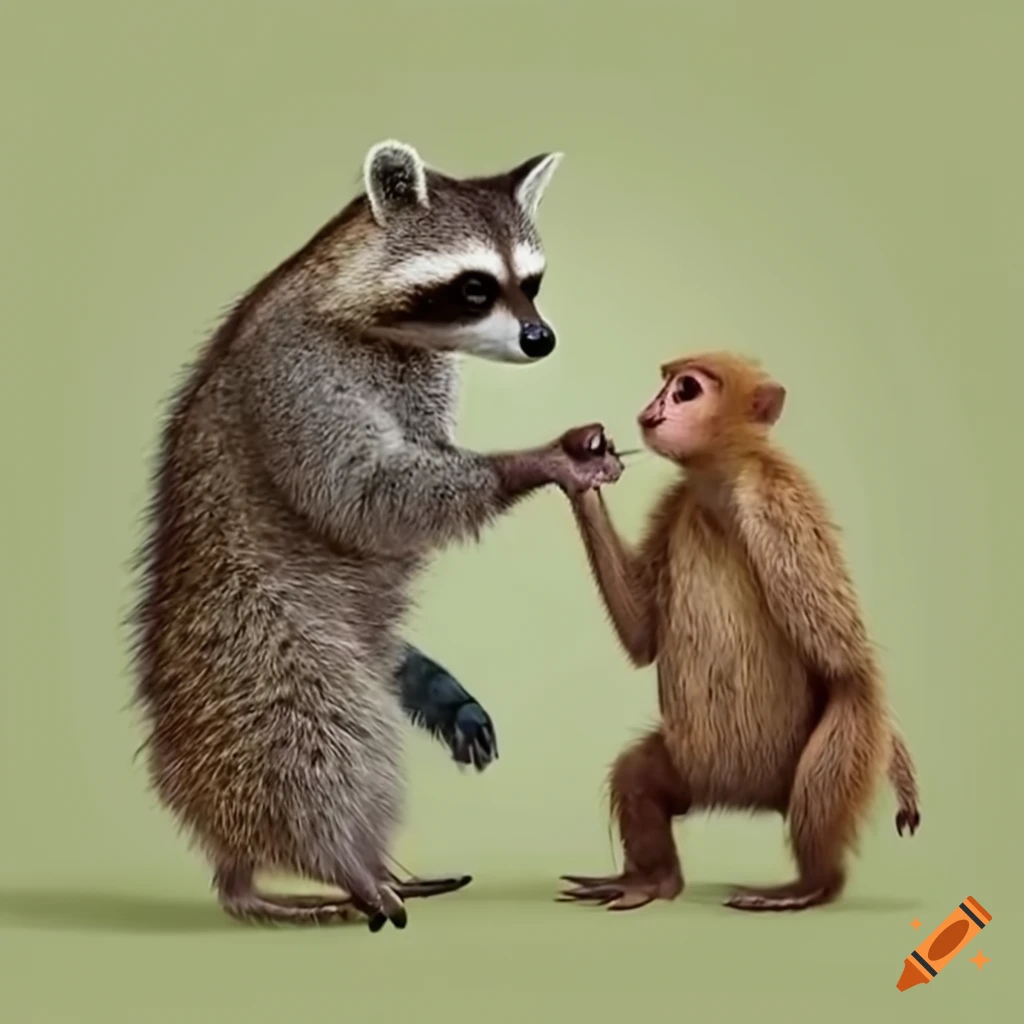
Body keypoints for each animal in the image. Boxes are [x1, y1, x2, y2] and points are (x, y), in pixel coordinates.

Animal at [130, 138, 623, 932]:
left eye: (533, 282)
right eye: (477, 287)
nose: (541, 339)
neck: (389, 330)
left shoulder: (422, 379)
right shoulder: (299, 375)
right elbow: (362, 494)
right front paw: (531, 461)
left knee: (371, 671)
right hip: (259, 644)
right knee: (319, 739)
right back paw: (342, 861)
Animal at [557, 352, 920, 912]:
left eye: (685, 390)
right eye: (665, 385)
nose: (651, 410)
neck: (718, 491)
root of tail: (744, 799)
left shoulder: (774, 506)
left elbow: (847, 663)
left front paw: (900, 766)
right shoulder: (676, 502)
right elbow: (642, 636)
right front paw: (579, 464)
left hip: (810, 756)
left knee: (842, 721)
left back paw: (813, 884)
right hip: (692, 768)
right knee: (639, 775)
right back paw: (653, 879)